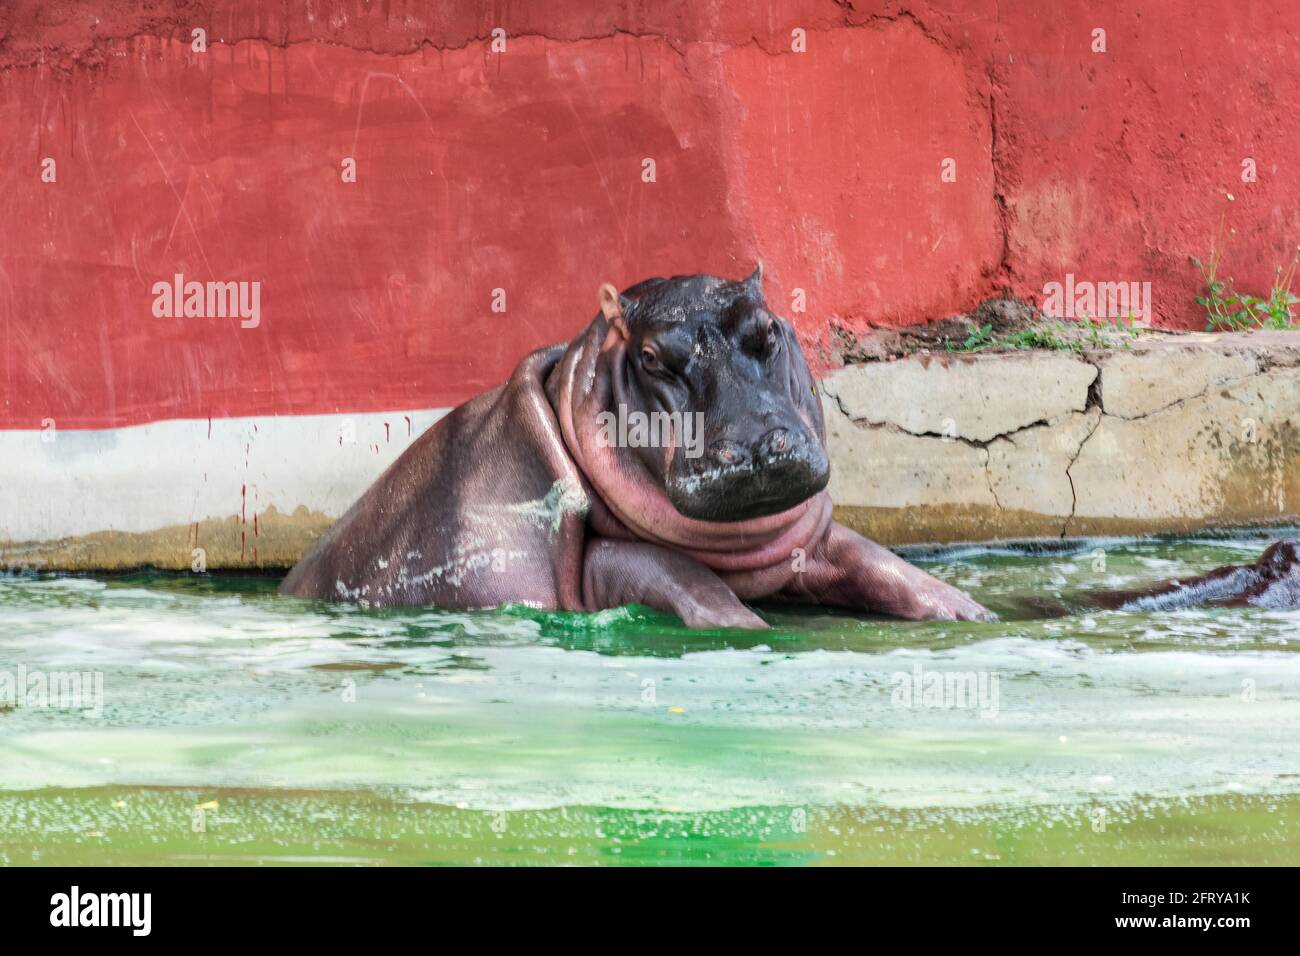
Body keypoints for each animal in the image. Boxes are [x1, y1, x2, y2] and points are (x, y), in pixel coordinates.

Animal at [279, 268, 993, 626]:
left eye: (770, 328)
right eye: (649, 357)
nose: (757, 445)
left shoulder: (804, 547)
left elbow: (887, 568)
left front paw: (975, 615)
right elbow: (688, 581)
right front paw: (750, 628)